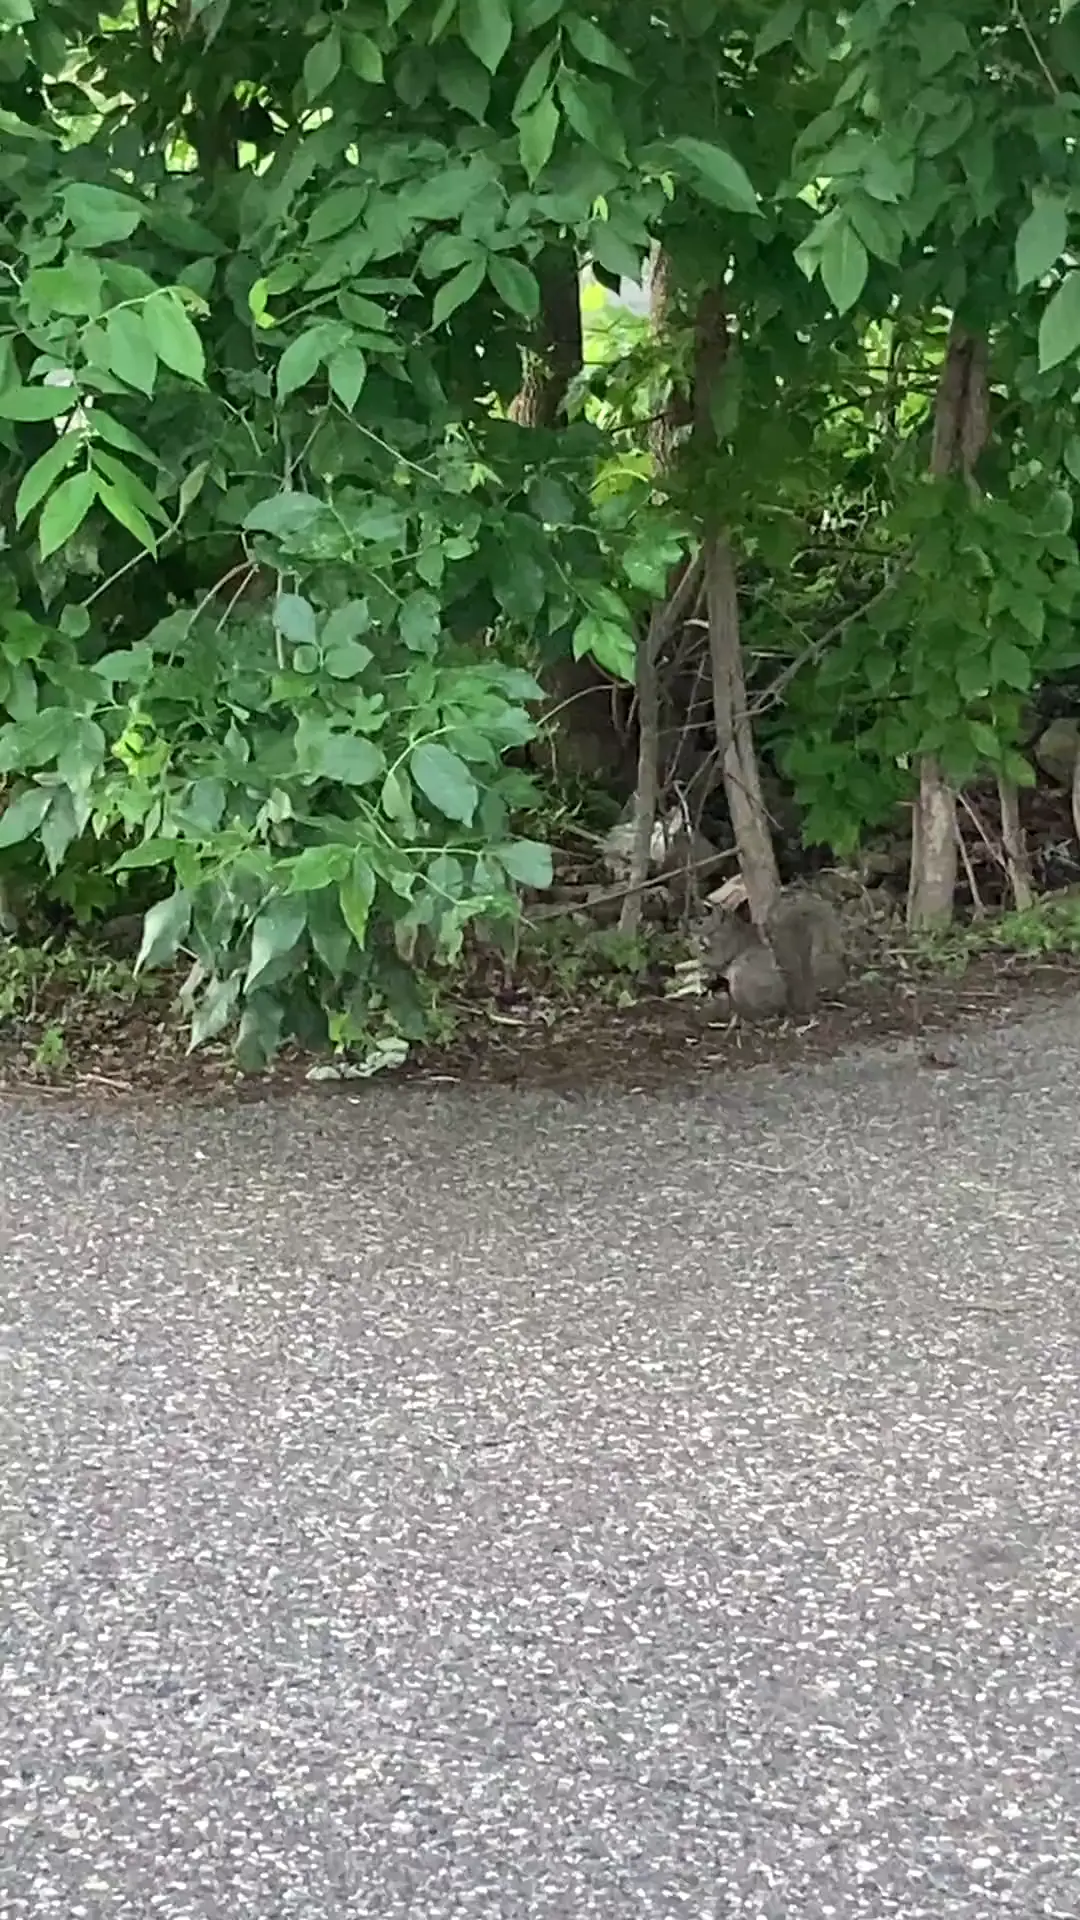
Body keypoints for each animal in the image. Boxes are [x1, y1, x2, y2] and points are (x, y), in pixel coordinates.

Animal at [695, 890, 846, 1018]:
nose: (687, 927)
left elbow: (717, 959)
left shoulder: (726, 943)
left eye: (700, 921)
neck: (723, 928)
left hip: (742, 976)